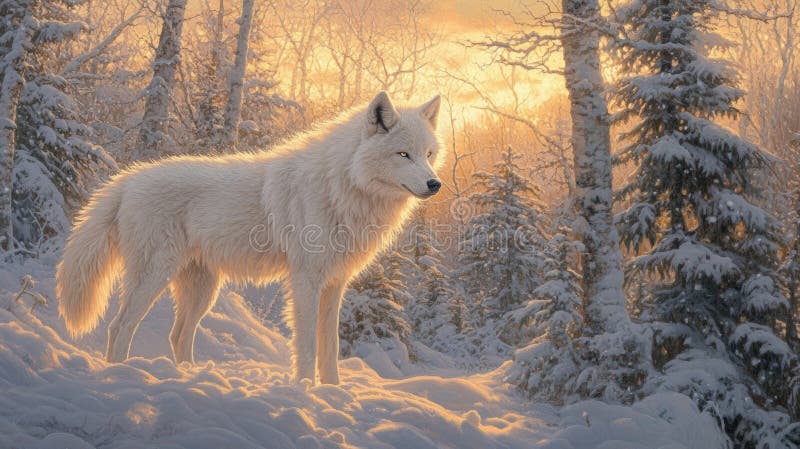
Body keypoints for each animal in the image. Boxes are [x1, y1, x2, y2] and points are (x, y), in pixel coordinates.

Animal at [56, 91, 443, 384]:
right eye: (403, 154)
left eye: (428, 154)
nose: (435, 184)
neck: (342, 185)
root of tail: (127, 178)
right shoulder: (305, 280)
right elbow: (307, 345)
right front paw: (305, 388)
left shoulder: (335, 285)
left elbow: (330, 347)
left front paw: (333, 392)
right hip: (154, 277)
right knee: (120, 326)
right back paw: (119, 375)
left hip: (203, 290)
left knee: (177, 335)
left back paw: (191, 377)